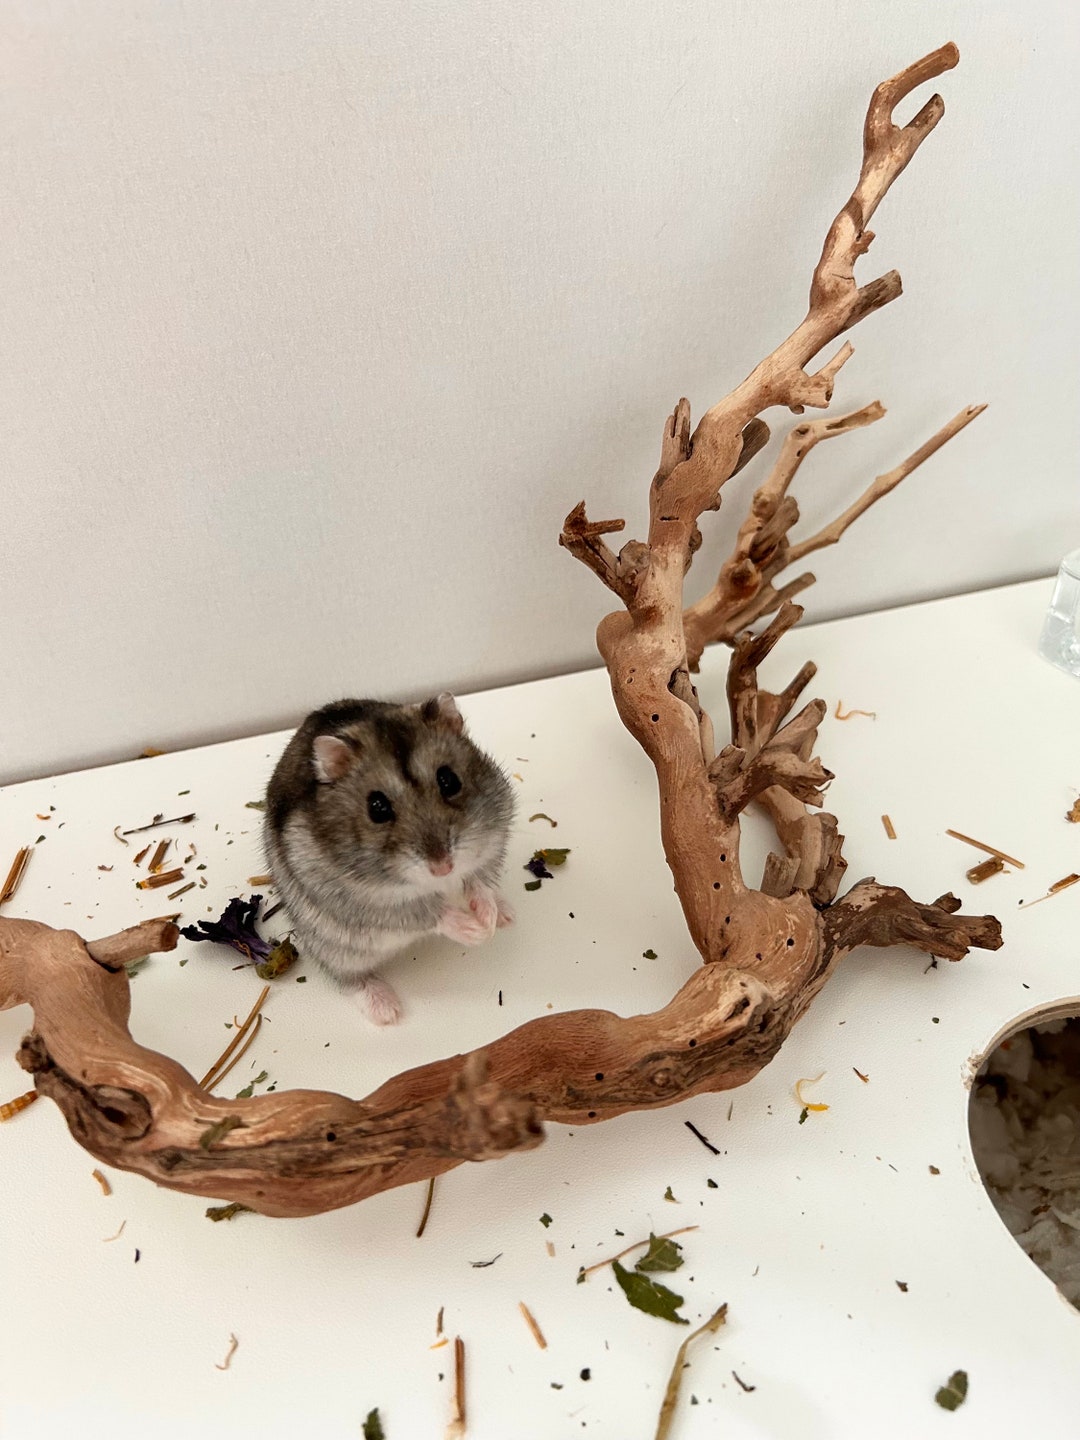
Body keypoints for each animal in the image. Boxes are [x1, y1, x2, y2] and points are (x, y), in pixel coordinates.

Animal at [264, 692, 514, 1024]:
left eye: (449, 780)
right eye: (377, 807)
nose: (443, 867)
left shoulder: (491, 845)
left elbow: (478, 884)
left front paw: (488, 923)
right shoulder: (371, 905)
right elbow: (428, 913)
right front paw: (475, 933)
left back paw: (506, 914)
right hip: (334, 948)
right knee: (348, 977)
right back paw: (387, 1011)